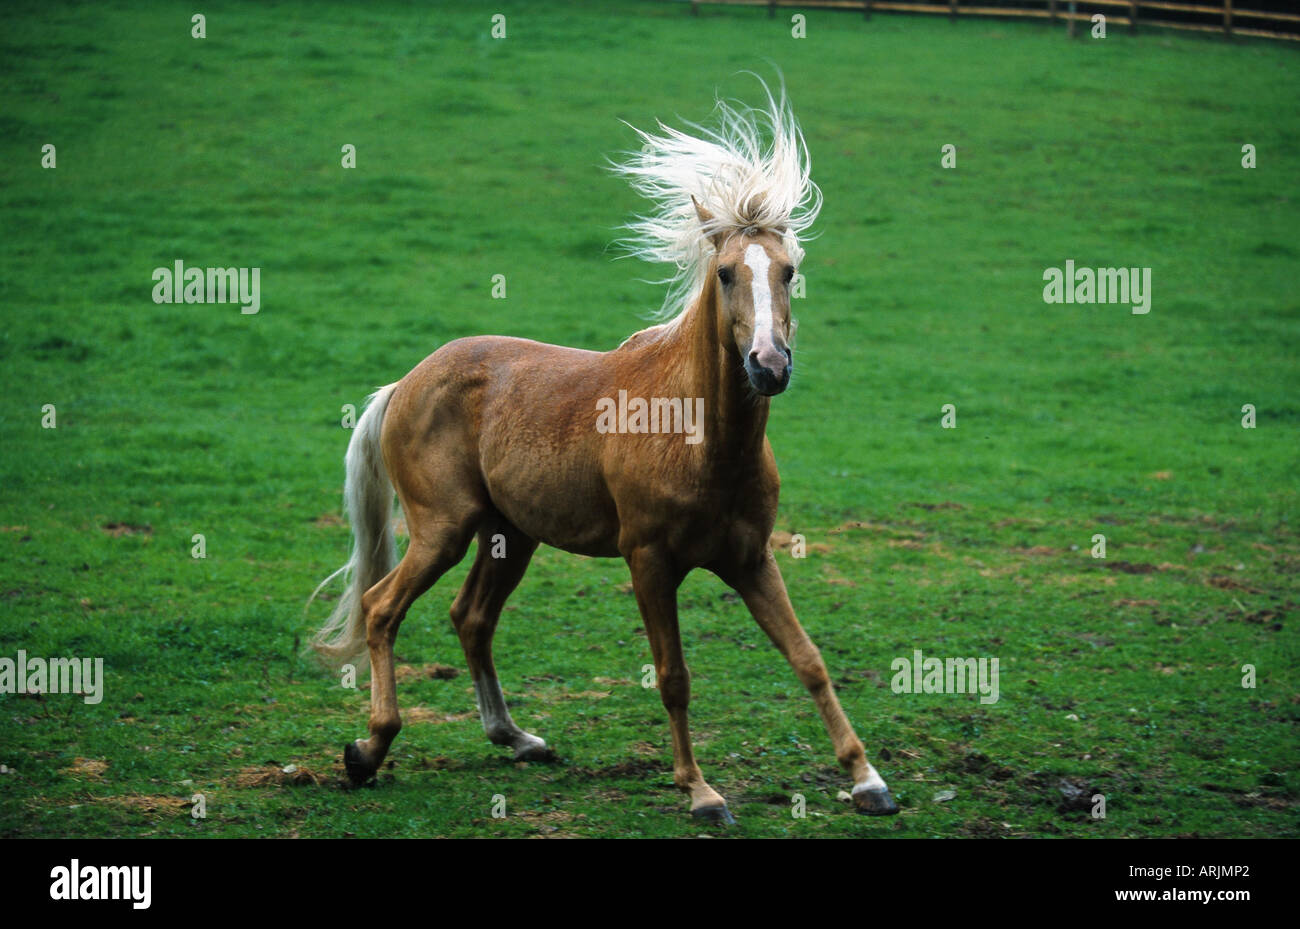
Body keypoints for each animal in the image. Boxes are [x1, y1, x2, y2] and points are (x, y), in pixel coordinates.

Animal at [309, 81, 898, 822]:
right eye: (726, 274)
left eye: (788, 272)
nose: (768, 365)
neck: (700, 439)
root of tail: (405, 383)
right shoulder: (649, 561)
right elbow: (674, 676)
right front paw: (700, 790)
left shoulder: (751, 558)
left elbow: (809, 659)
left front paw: (867, 778)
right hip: (444, 530)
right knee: (383, 606)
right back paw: (369, 748)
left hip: (510, 534)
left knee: (471, 618)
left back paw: (517, 738)